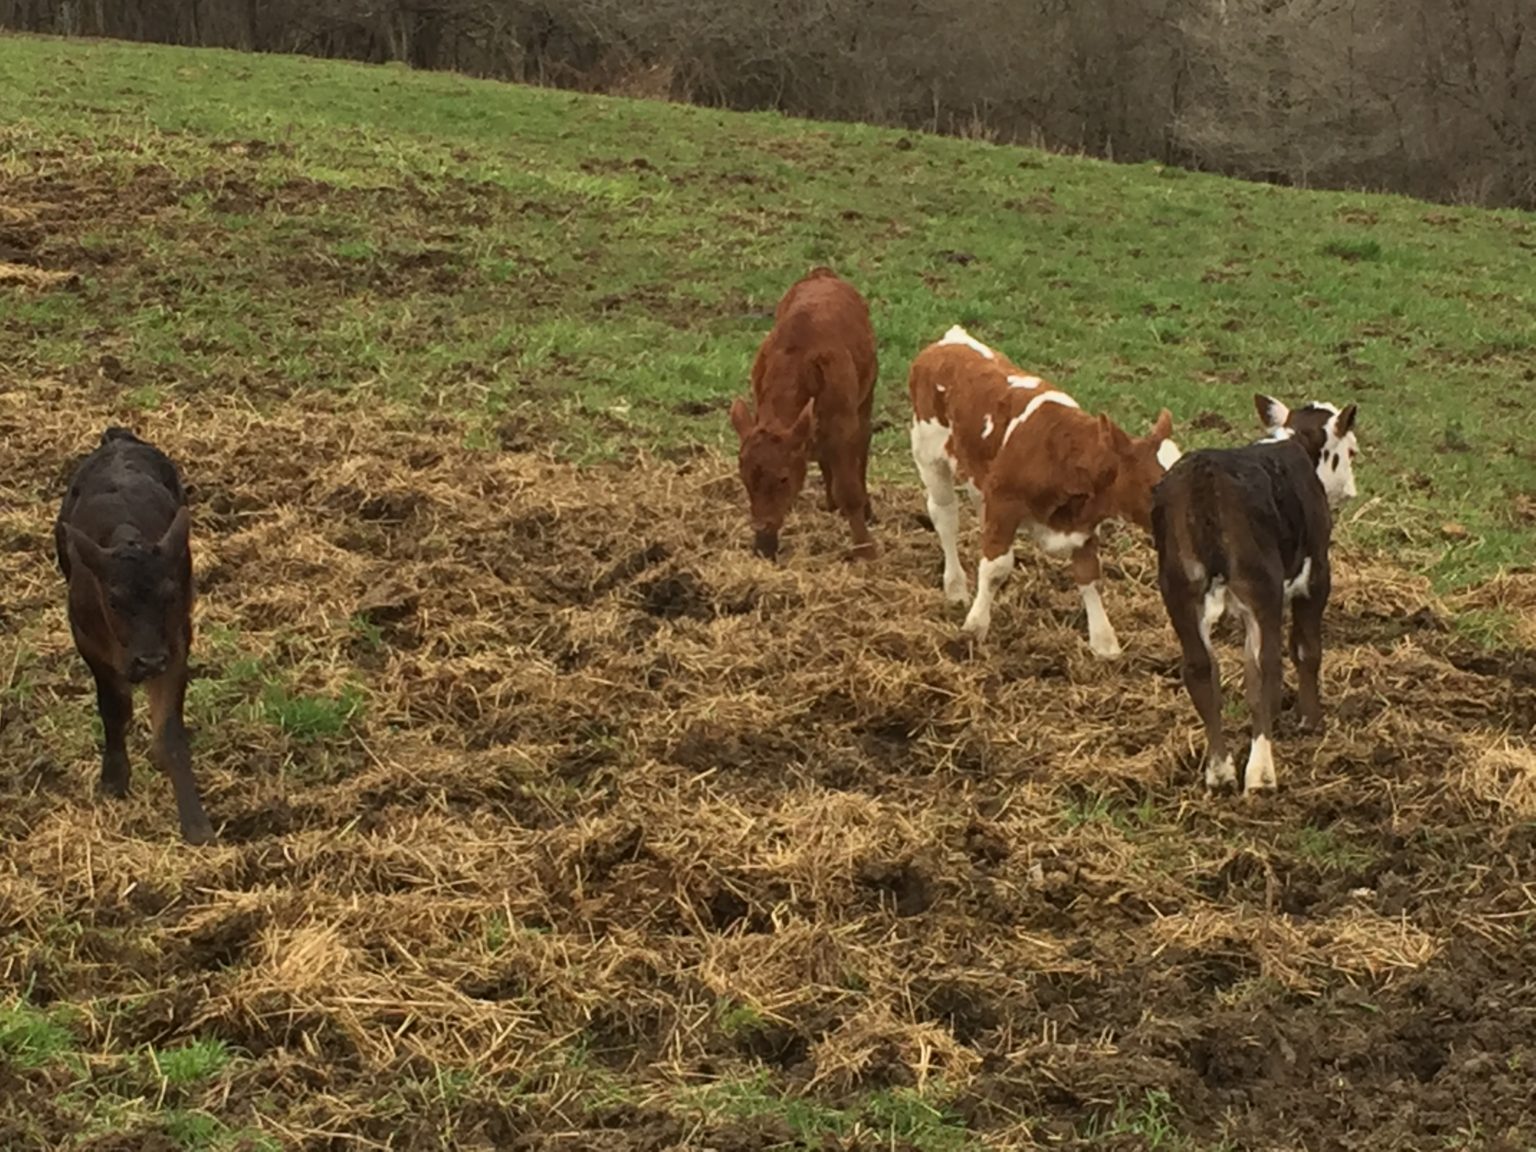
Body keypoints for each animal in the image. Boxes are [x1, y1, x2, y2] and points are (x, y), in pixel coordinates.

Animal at [54, 427, 214, 844]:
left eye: (170, 594)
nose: (148, 661)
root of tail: (119, 438)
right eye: (114, 599)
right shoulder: (87, 640)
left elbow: (170, 732)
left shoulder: (176, 642)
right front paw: (114, 779)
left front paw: (196, 823)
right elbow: (114, 708)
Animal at [728, 266, 879, 561]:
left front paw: (865, 548)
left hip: (866, 397)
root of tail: (822, 274)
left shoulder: (844, 427)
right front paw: (765, 545)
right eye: (745, 479)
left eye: (783, 478)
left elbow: (849, 489)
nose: (761, 528)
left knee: (864, 442)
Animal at [908, 325, 1179, 656]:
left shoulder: (1083, 523)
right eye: (1154, 484)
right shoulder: (1005, 504)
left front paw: (1104, 644)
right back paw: (956, 587)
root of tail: (950, 341)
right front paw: (974, 628)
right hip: (929, 456)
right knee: (945, 517)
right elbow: (996, 567)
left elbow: (1089, 575)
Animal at [1151, 393, 1360, 793]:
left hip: (1178, 589)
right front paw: (1310, 720)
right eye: (1352, 450)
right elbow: (1306, 650)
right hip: (1263, 586)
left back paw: (1219, 772)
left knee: (1200, 668)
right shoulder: (1315, 578)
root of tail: (1204, 475)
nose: (1352, 491)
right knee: (1266, 668)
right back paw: (1261, 774)